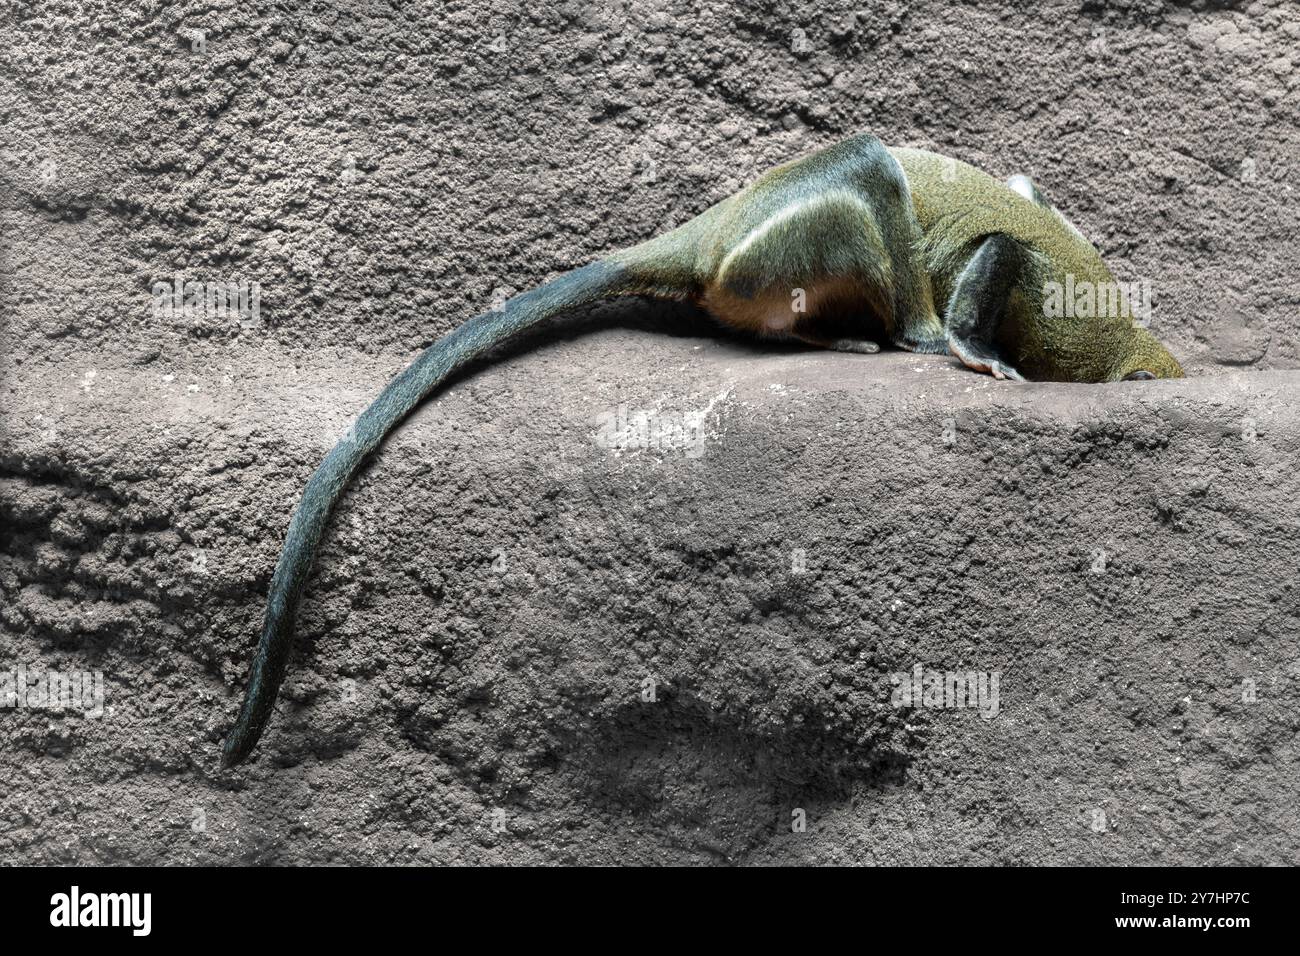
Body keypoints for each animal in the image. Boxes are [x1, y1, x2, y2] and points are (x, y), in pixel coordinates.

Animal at [221, 132, 1183, 766]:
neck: (1118, 339)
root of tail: (710, 232)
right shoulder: (1041, 293)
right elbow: (998, 254)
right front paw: (974, 349)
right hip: (774, 253)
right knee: (867, 167)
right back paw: (890, 332)